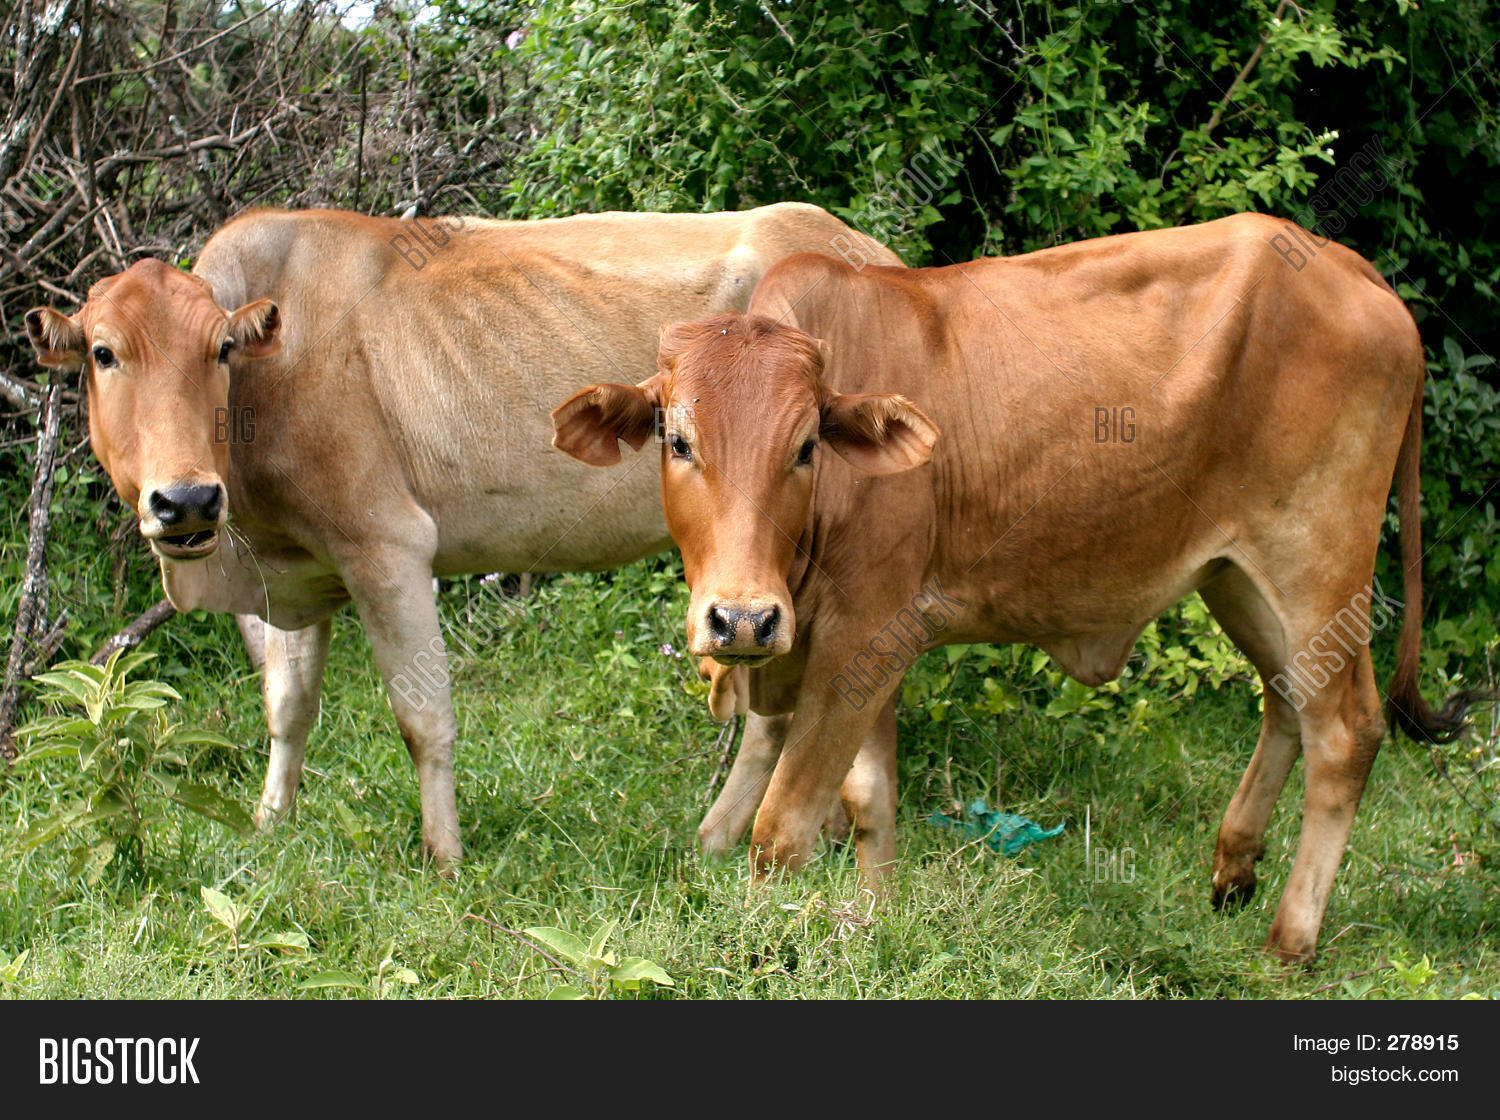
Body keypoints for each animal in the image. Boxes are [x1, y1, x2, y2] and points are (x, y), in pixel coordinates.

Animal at [24, 203, 902, 868]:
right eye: (103, 352)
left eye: (220, 349)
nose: (187, 500)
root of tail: (862, 248)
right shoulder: (300, 570)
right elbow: (287, 706)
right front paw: (271, 825)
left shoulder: (386, 548)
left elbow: (423, 720)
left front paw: (442, 858)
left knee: (782, 706)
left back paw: (722, 838)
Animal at [550, 212, 1490, 962]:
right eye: (678, 441)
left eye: (806, 446)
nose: (741, 620)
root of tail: (1350, 267)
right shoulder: (877, 640)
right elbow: (870, 800)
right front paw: (876, 920)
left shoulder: (863, 630)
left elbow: (782, 828)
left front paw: (762, 945)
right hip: (1239, 577)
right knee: (1287, 698)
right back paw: (1233, 870)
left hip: (1318, 559)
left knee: (1345, 731)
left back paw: (1289, 941)